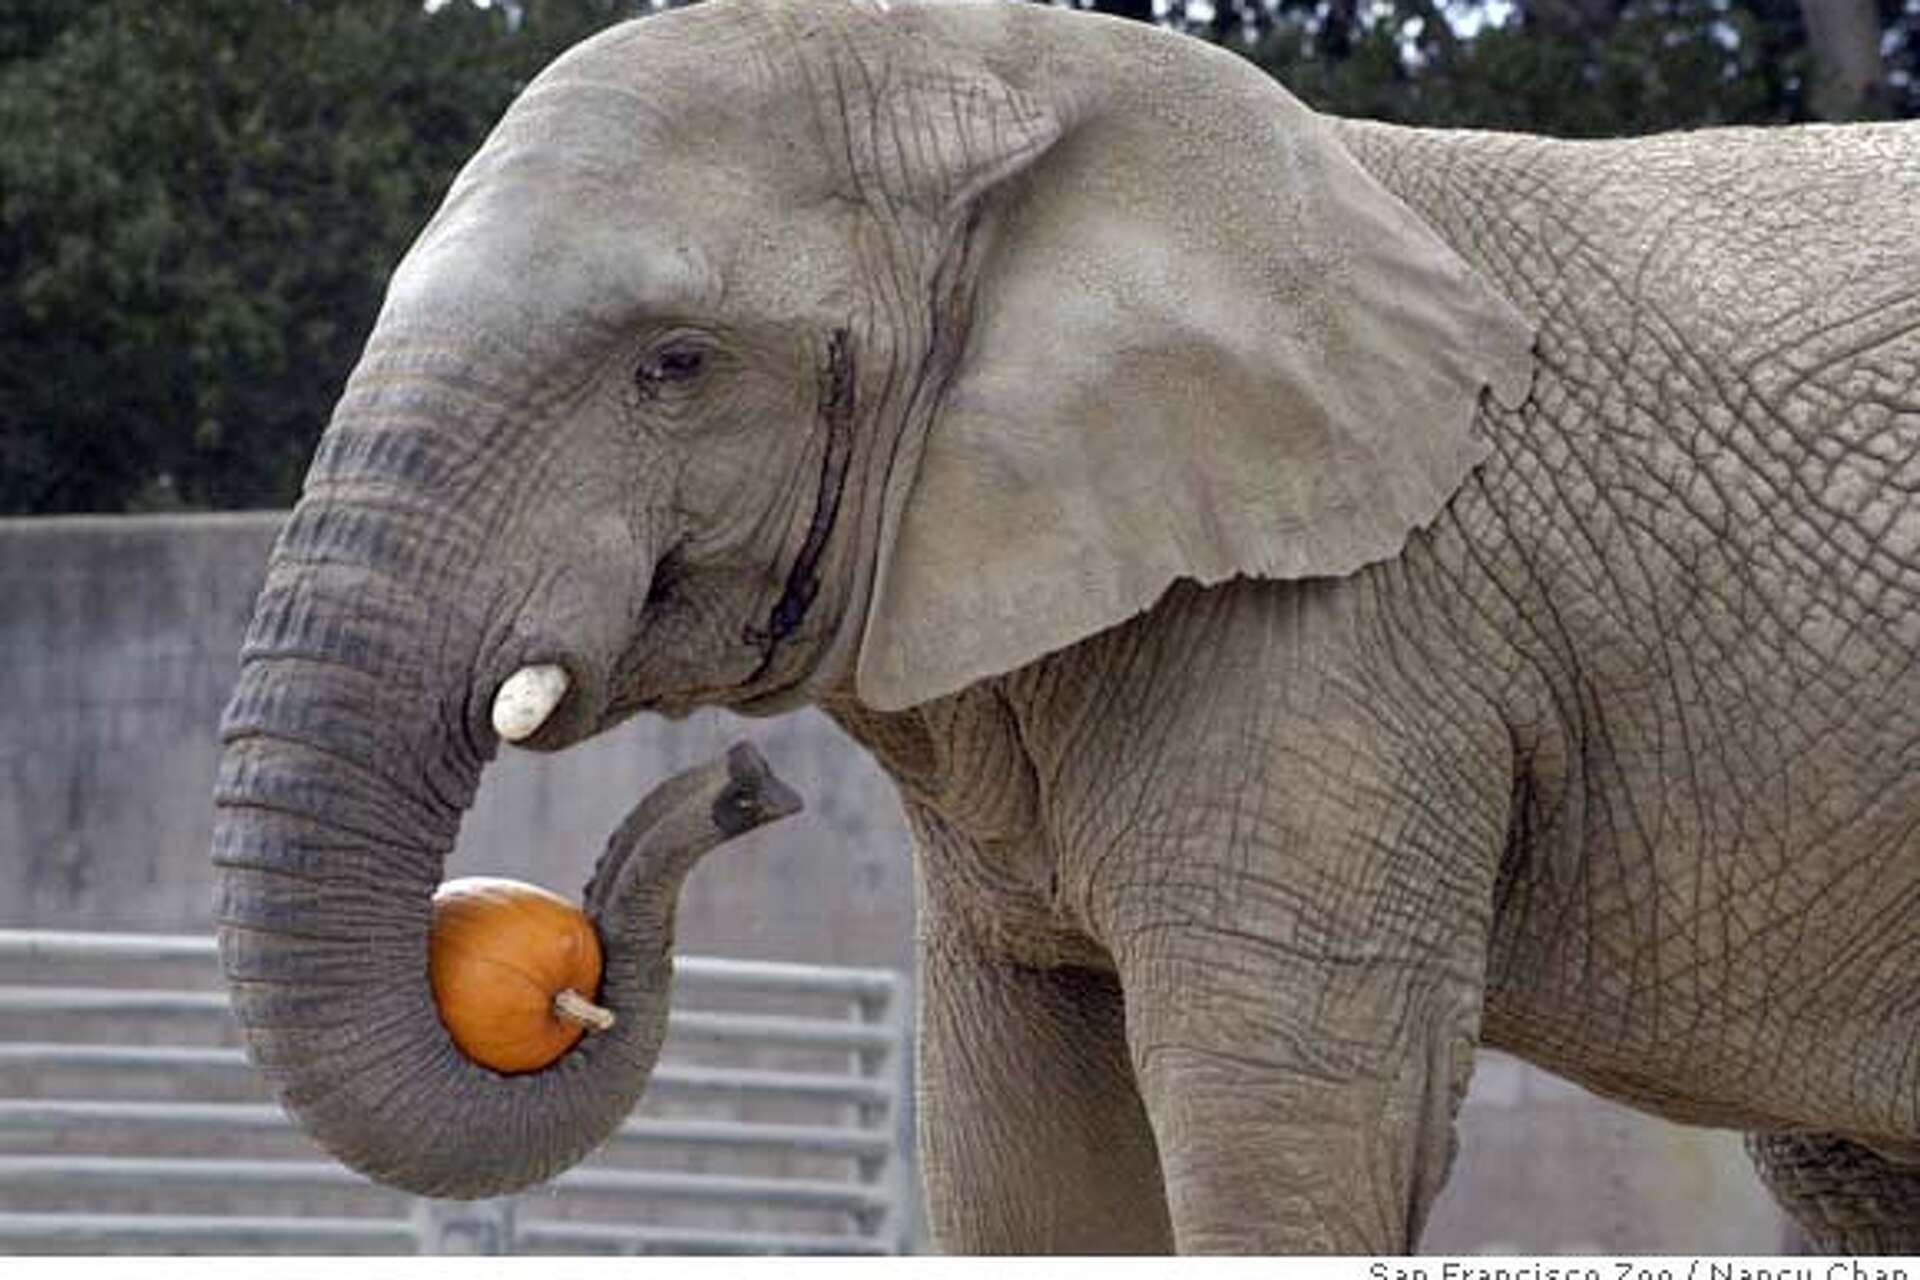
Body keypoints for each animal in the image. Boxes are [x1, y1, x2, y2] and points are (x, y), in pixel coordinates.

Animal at [208, 0, 1920, 1255]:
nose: (746, 791)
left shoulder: (1352, 632)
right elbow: (1021, 1149)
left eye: (675, 363)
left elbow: (1288, 1126)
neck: (999, 78)